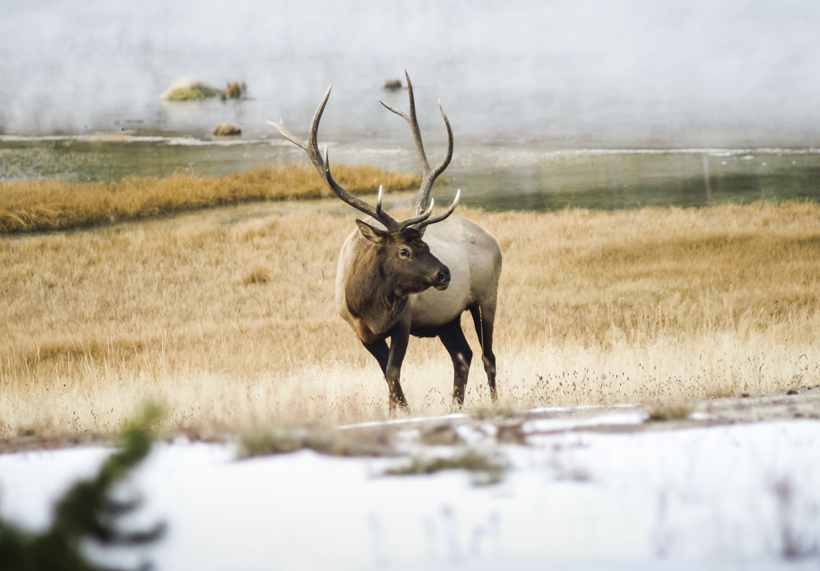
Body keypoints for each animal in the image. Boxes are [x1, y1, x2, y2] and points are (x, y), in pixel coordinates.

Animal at [269, 71, 502, 412]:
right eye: (404, 250)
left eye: (426, 246)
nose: (445, 273)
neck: (365, 303)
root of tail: (494, 239)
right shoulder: (360, 331)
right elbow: (386, 373)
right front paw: (397, 409)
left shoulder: (404, 321)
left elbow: (393, 371)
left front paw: (400, 411)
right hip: (448, 318)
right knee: (463, 355)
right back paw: (455, 405)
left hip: (486, 297)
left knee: (488, 356)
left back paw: (494, 402)